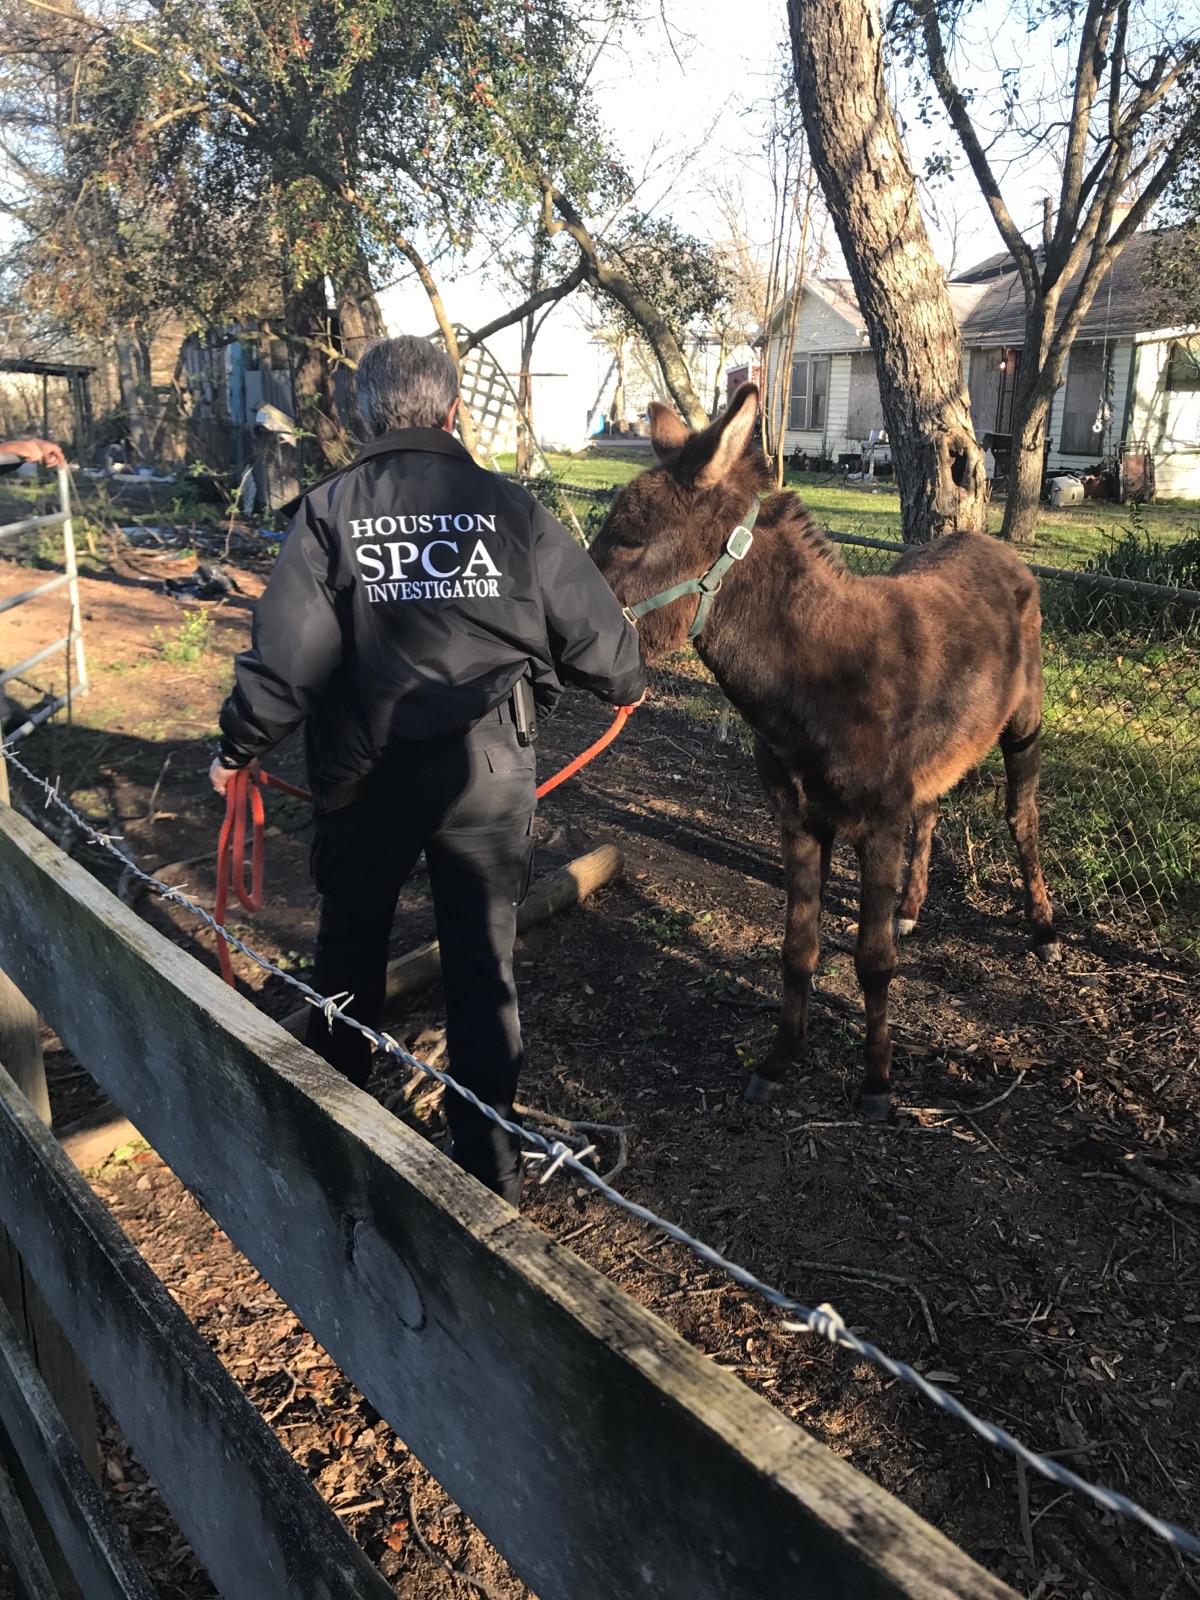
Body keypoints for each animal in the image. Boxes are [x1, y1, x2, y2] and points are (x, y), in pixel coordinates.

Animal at [588, 383, 1058, 1118]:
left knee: (1022, 816)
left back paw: (1041, 927)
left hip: (1024, 724)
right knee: (933, 809)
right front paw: (781, 1059)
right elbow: (797, 949)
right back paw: (912, 908)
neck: (817, 682)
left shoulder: (875, 825)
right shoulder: (799, 819)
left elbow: (871, 962)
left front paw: (878, 1083)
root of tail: (989, 541)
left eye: (630, 540)